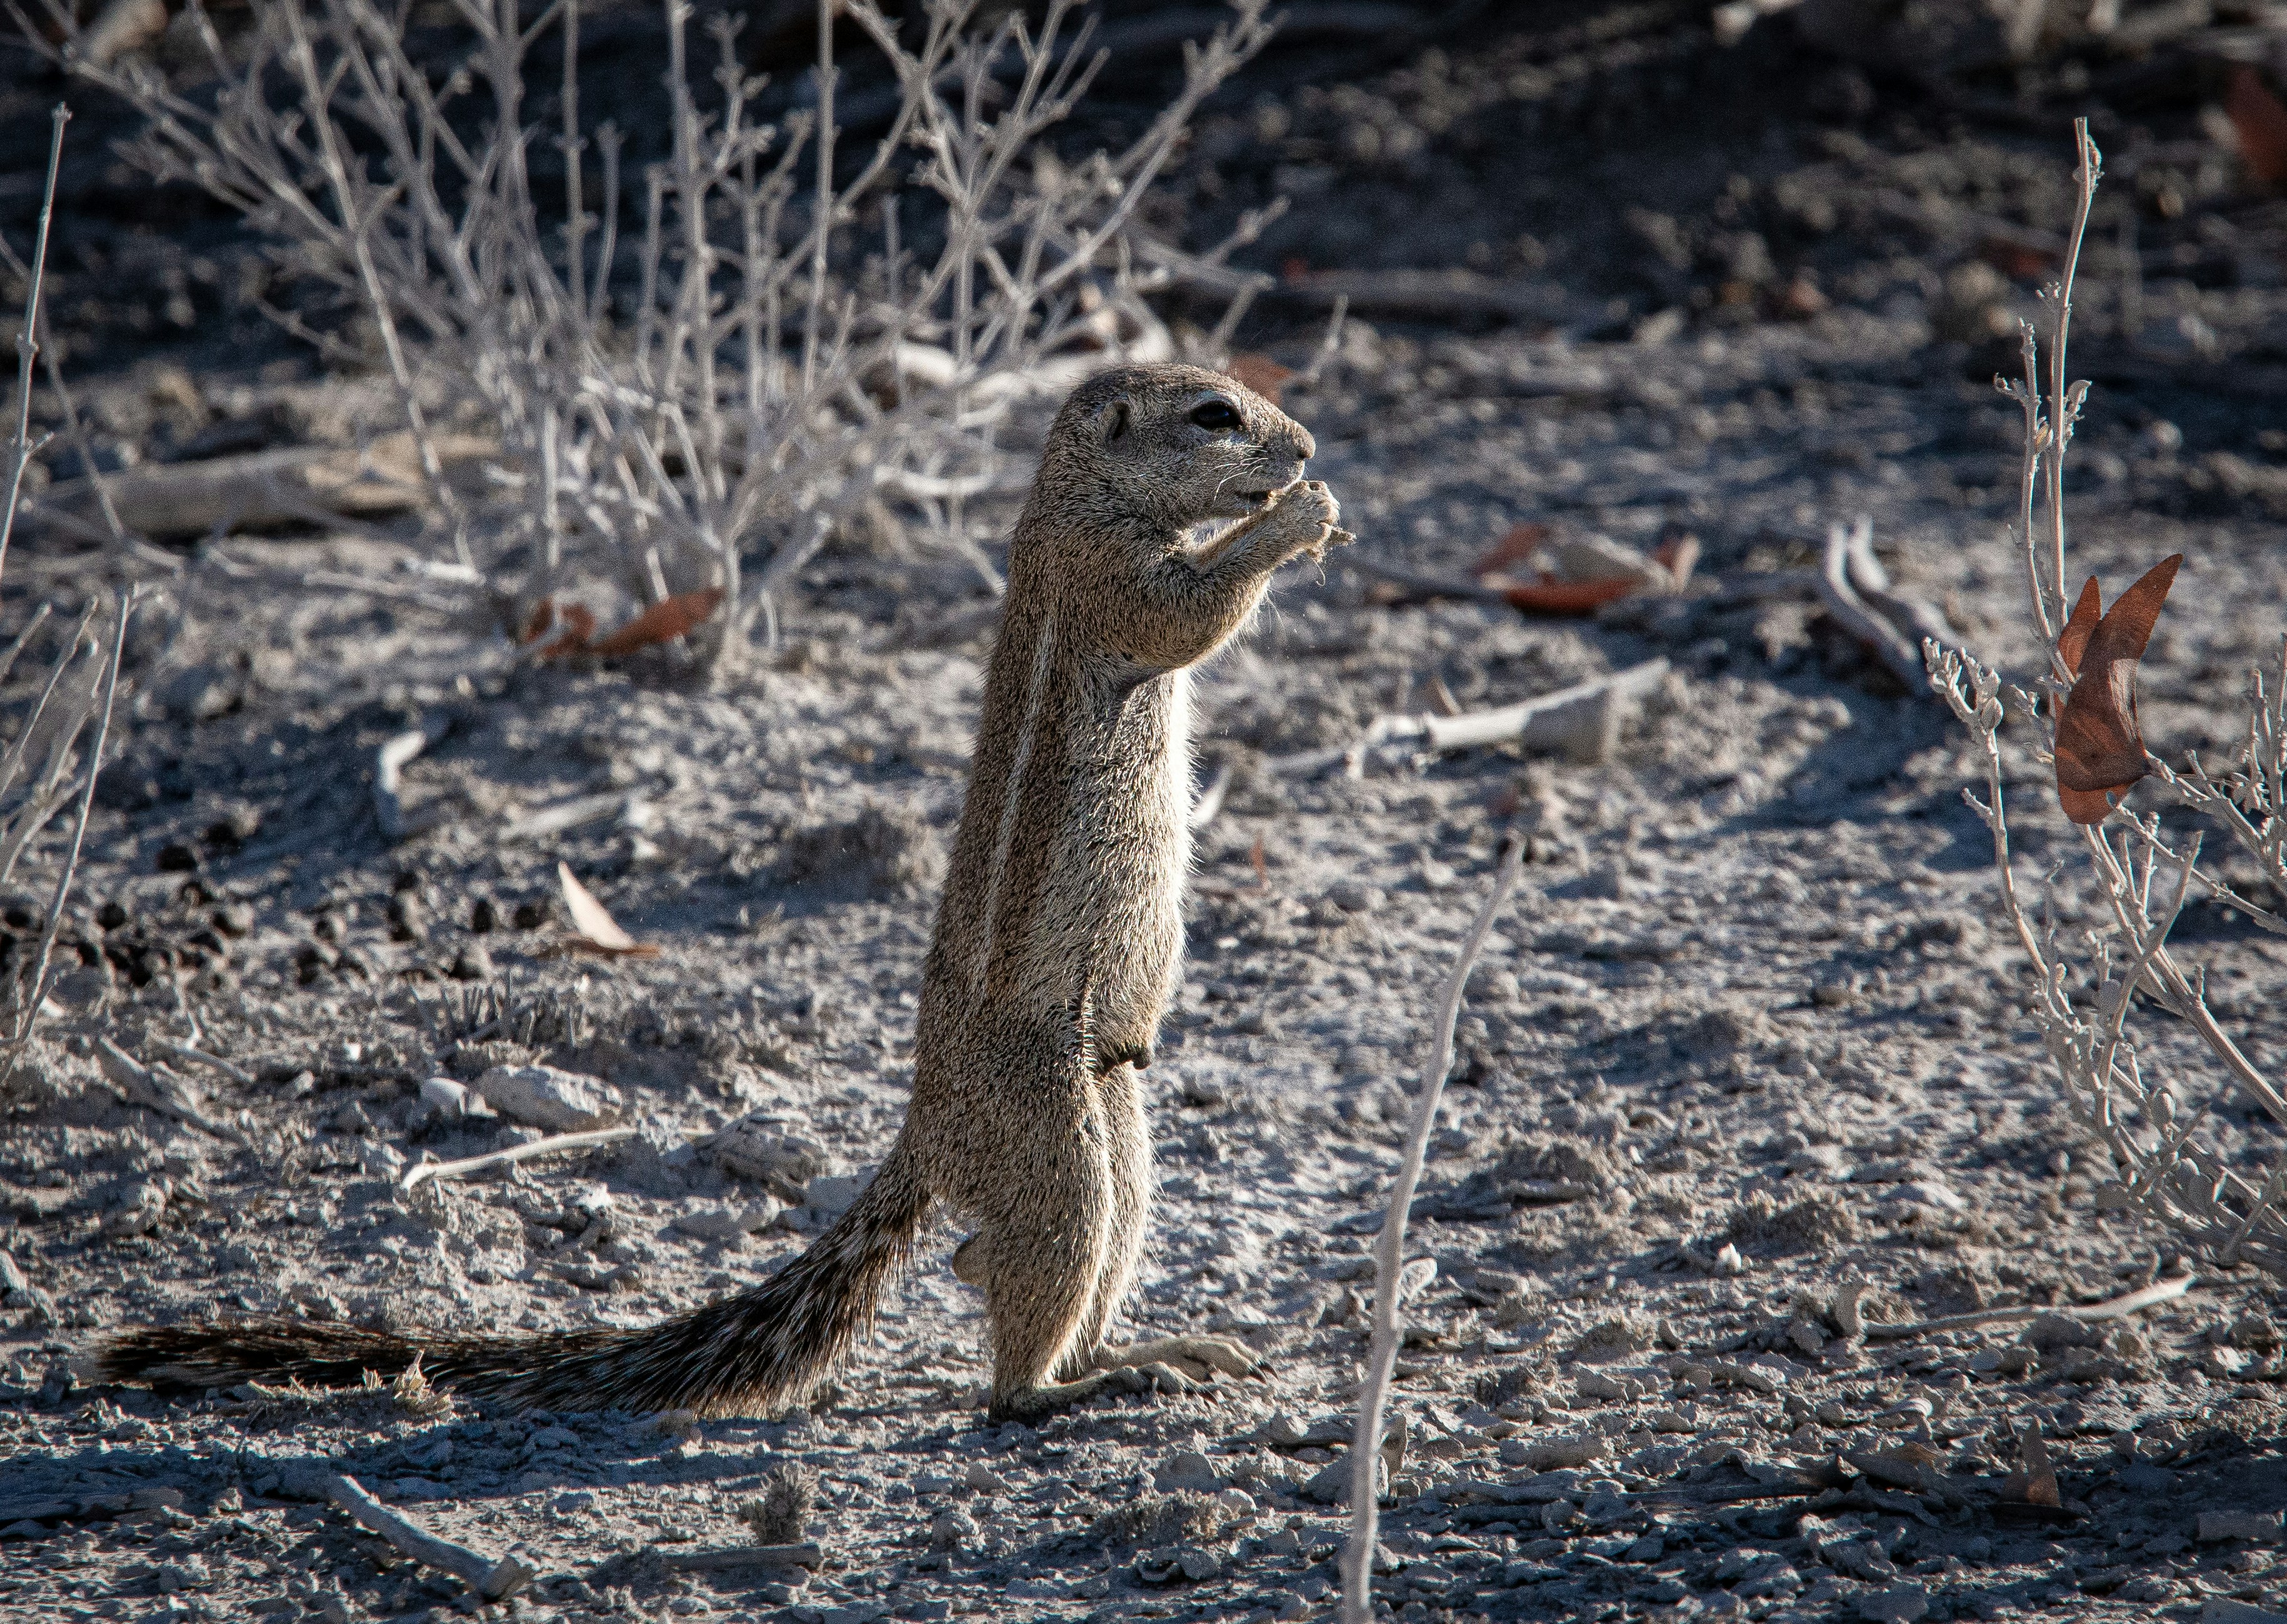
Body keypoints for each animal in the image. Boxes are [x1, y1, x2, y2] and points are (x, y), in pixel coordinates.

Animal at [98, 362, 1347, 1424]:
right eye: (1213, 414)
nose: (1304, 443)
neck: (1075, 498)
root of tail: (924, 1133)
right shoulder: (1108, 580)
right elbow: (1191, 615)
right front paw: (1297, 516)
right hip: (1052, 1124)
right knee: (1014, 1329)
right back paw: (1072, 1384)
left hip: (1115, 1103)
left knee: (1019, 1250)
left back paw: (1152, 1348)